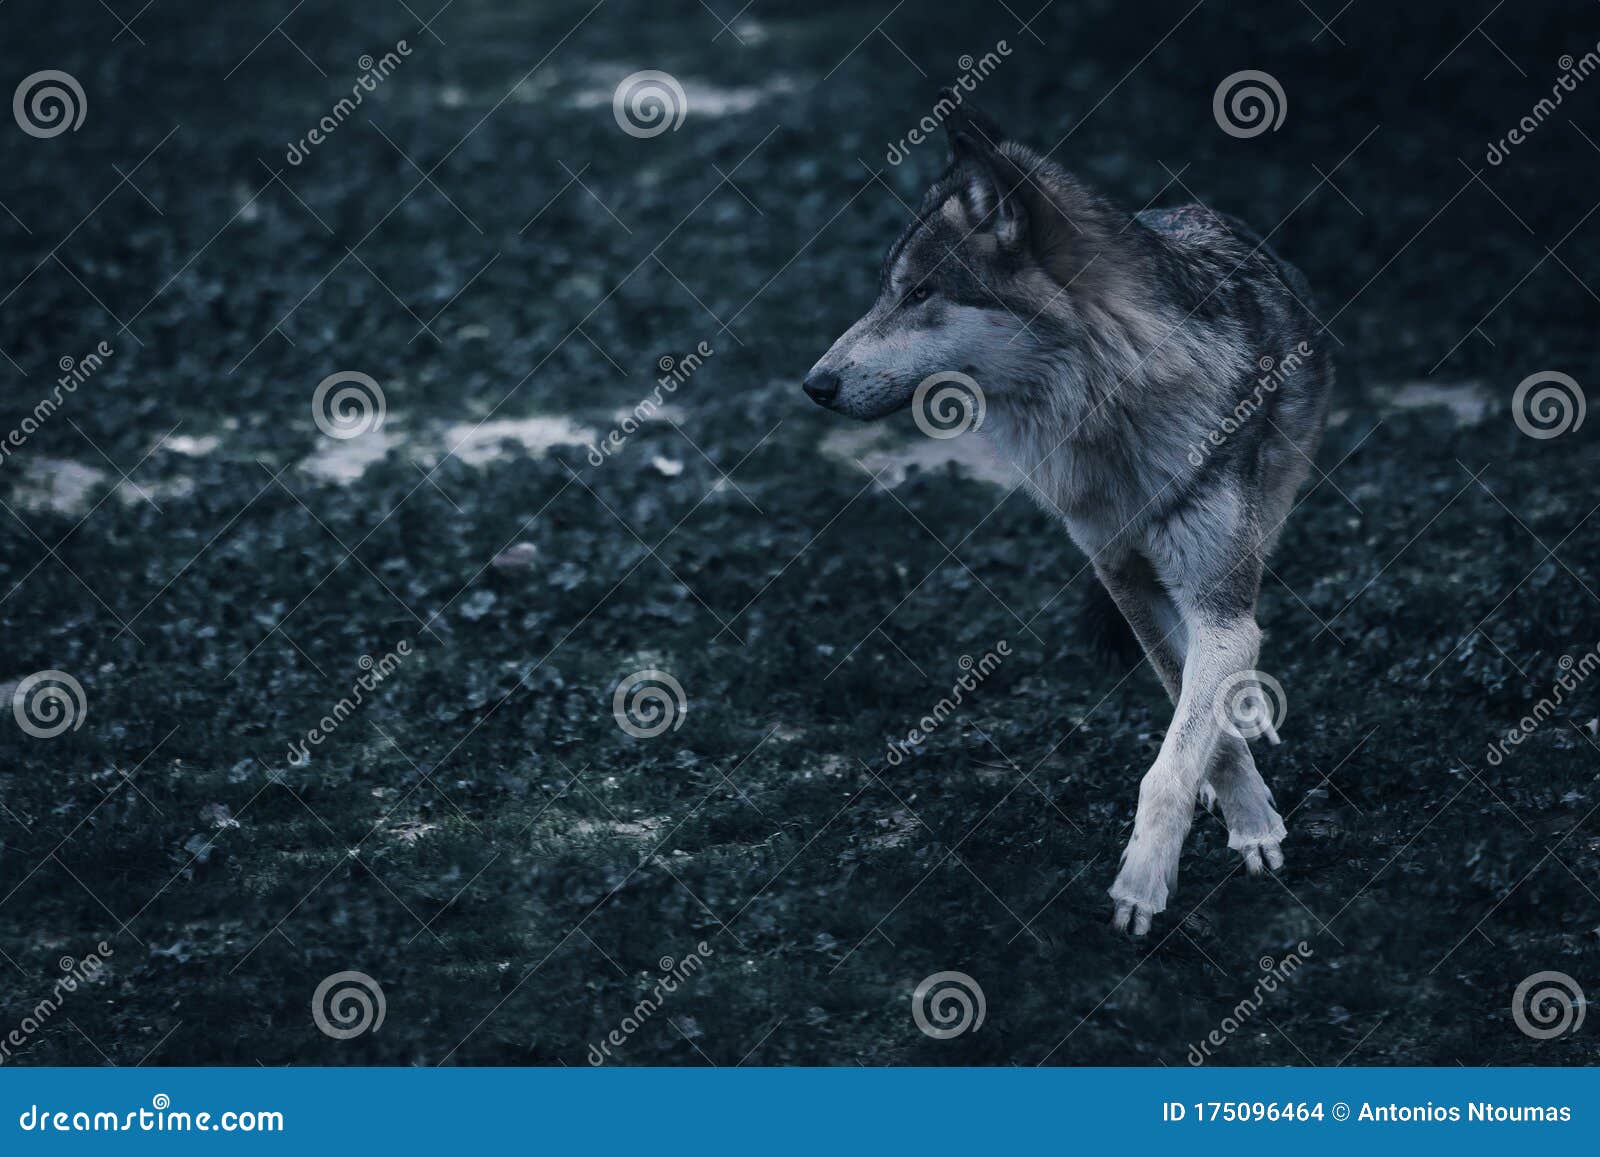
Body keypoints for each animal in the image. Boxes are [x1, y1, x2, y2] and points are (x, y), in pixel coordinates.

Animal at [802, 93, 1333, 935]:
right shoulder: (1123, 576)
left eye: (921, 295)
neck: (1107, 414)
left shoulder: (1216, 601)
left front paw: (1150, 878)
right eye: (890, 291)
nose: (813, 385)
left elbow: (1178, 746)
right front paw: (1243, 818)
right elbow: (1191, 717)